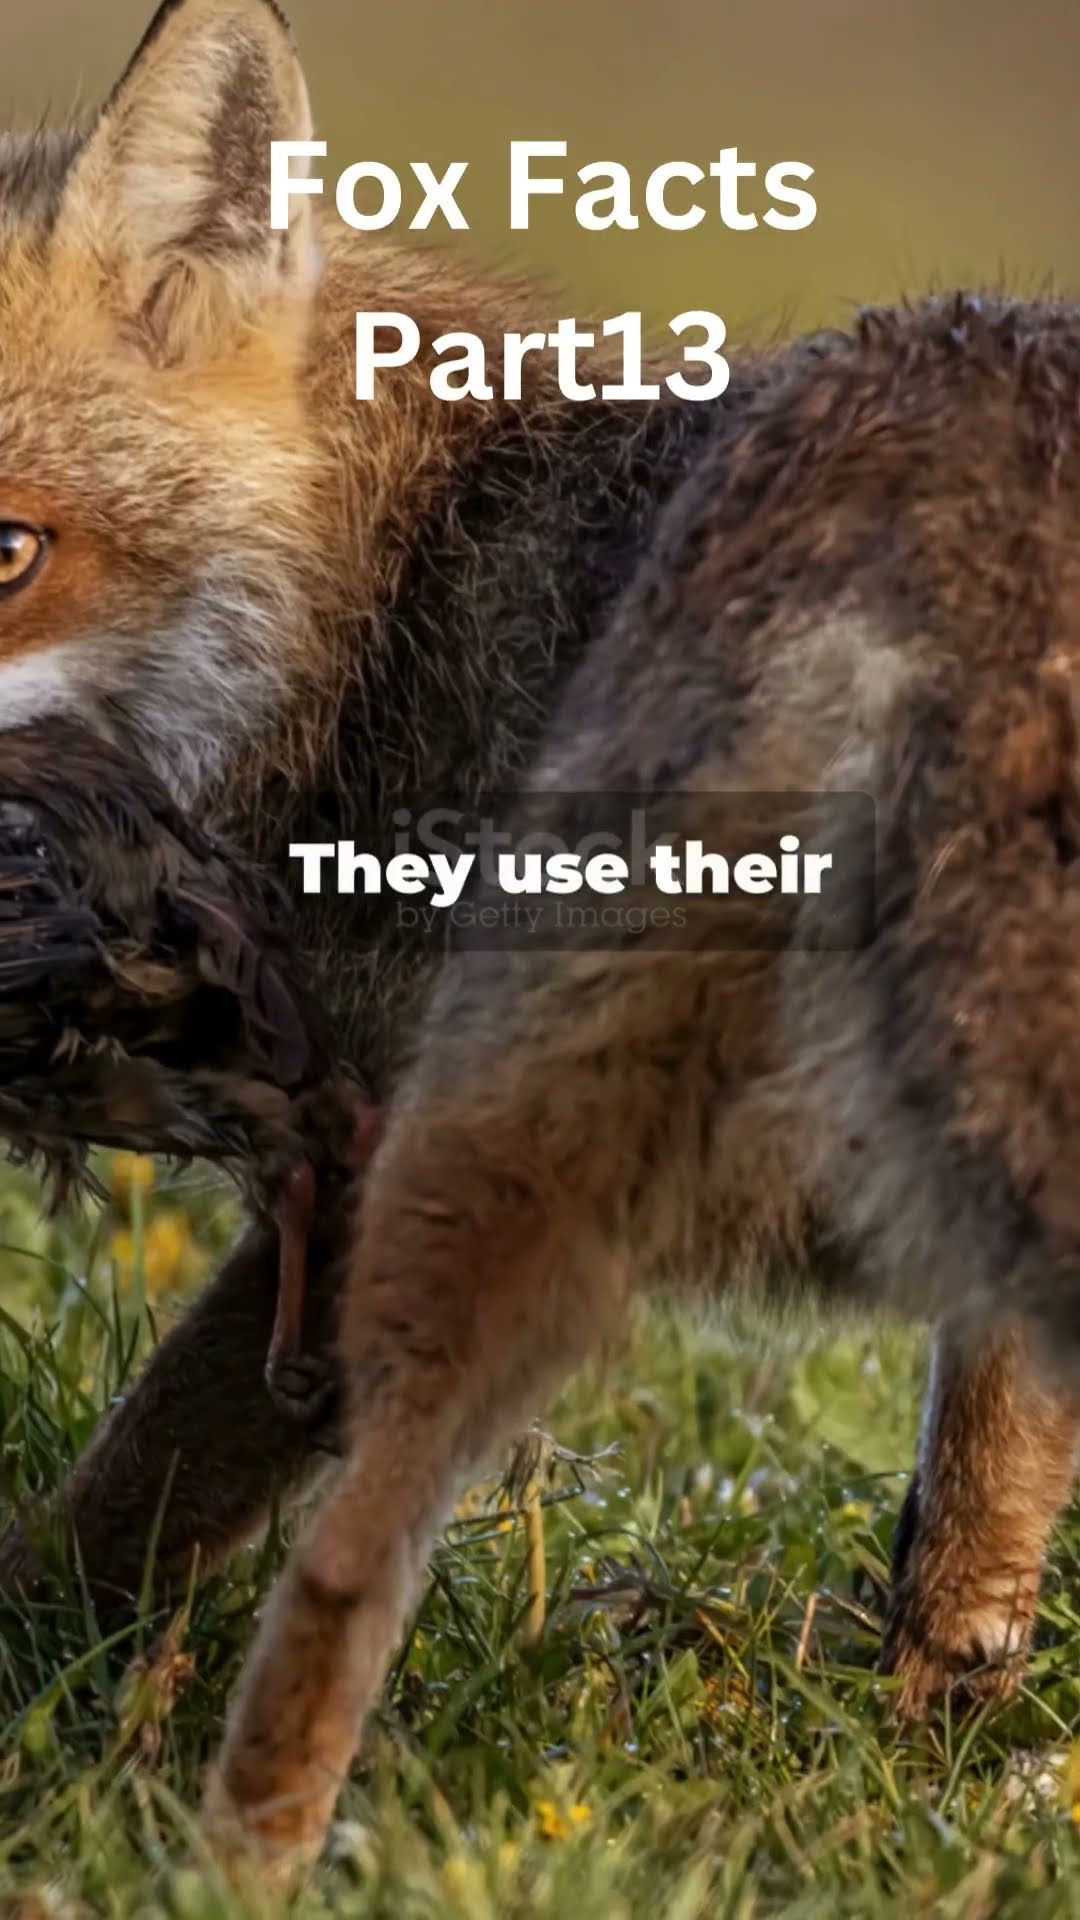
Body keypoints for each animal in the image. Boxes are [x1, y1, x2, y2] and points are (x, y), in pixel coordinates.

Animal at [1, 0, 1080, 1872]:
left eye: (12, 552)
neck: (373, 603)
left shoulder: (344, 1151)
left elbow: (128, 1495)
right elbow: (983, 1498)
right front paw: (939, 1748)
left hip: (502, 1148)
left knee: (341, 1575)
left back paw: (233, 1871)